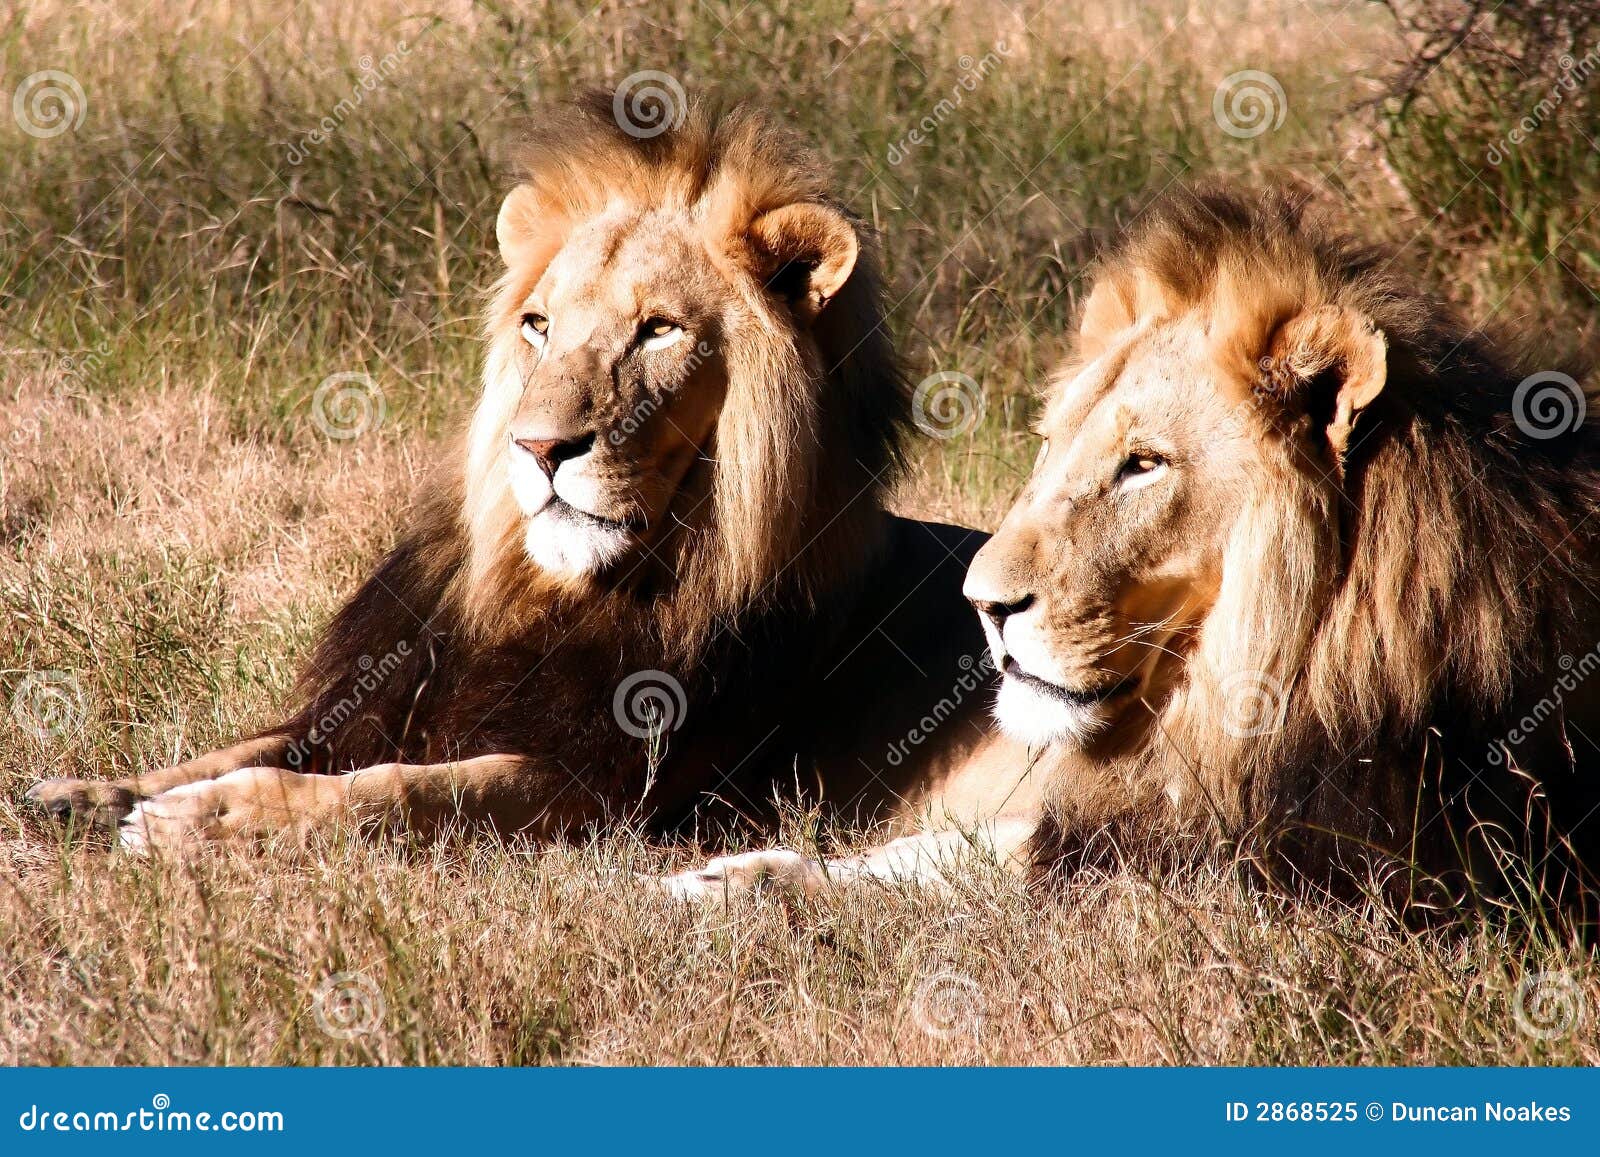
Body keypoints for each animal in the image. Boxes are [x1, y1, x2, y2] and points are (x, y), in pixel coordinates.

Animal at [26, 92, 1032, 854]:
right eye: (539, 325)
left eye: (658, 330)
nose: (540, 449)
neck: (560, 595)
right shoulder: (380, 696)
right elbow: (247, 743)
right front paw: (90, 794)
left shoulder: (612, 792)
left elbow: (400, 788)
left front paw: (210, 817)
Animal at [663, 186, 1600, 909]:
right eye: (1052, 444)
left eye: (1144, 464)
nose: (983, 606)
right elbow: (963, 844)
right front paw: (731, 874)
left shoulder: (1324, 866)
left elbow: (1000, 861)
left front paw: (740, 885)